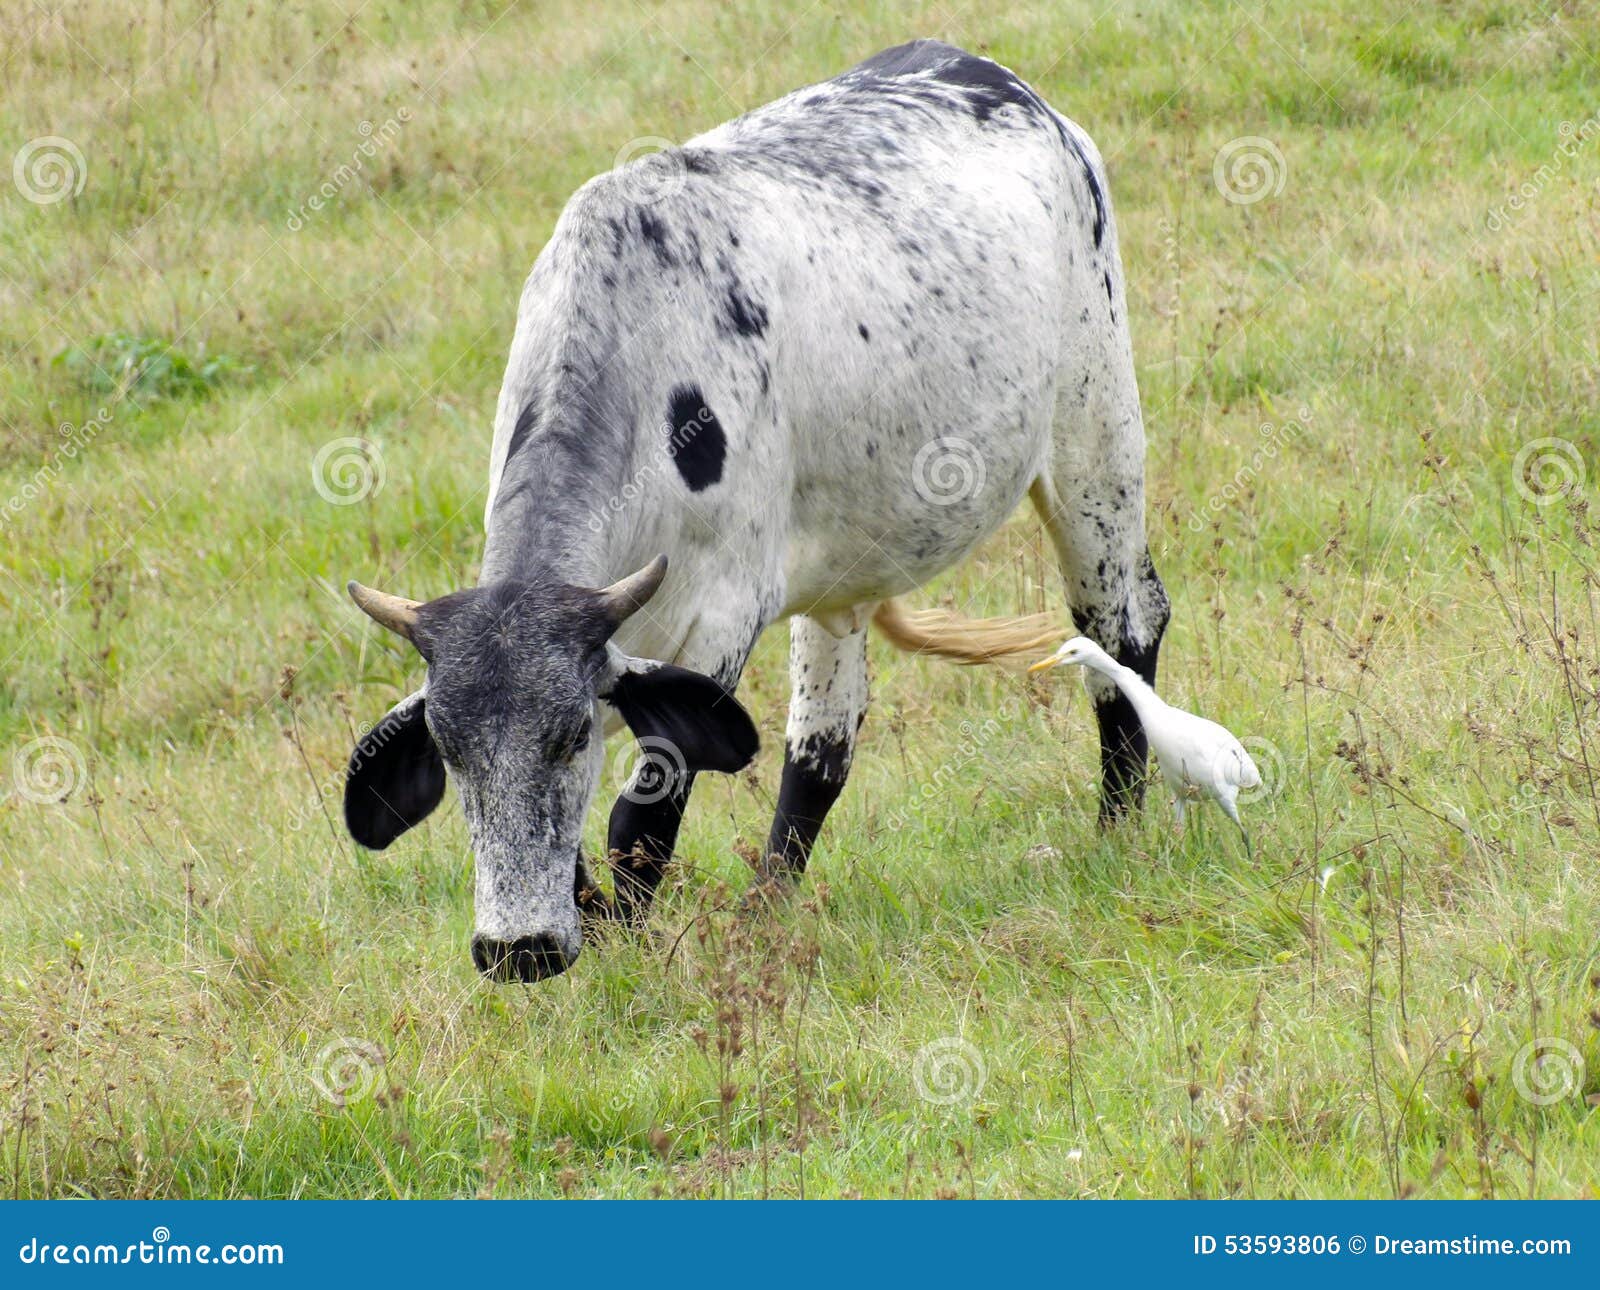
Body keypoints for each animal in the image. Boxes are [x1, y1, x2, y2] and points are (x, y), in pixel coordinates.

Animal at [341, 39, 1170, 982]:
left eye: (569, 736)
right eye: (449, 754)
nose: (518, 951)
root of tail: (998, 79)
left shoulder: (721, 612)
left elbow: (638, 819)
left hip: (1097, 444)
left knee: (1122, 631)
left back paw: (1117, 831)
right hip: (849, 565)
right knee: (822, 747)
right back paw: (768, 912)